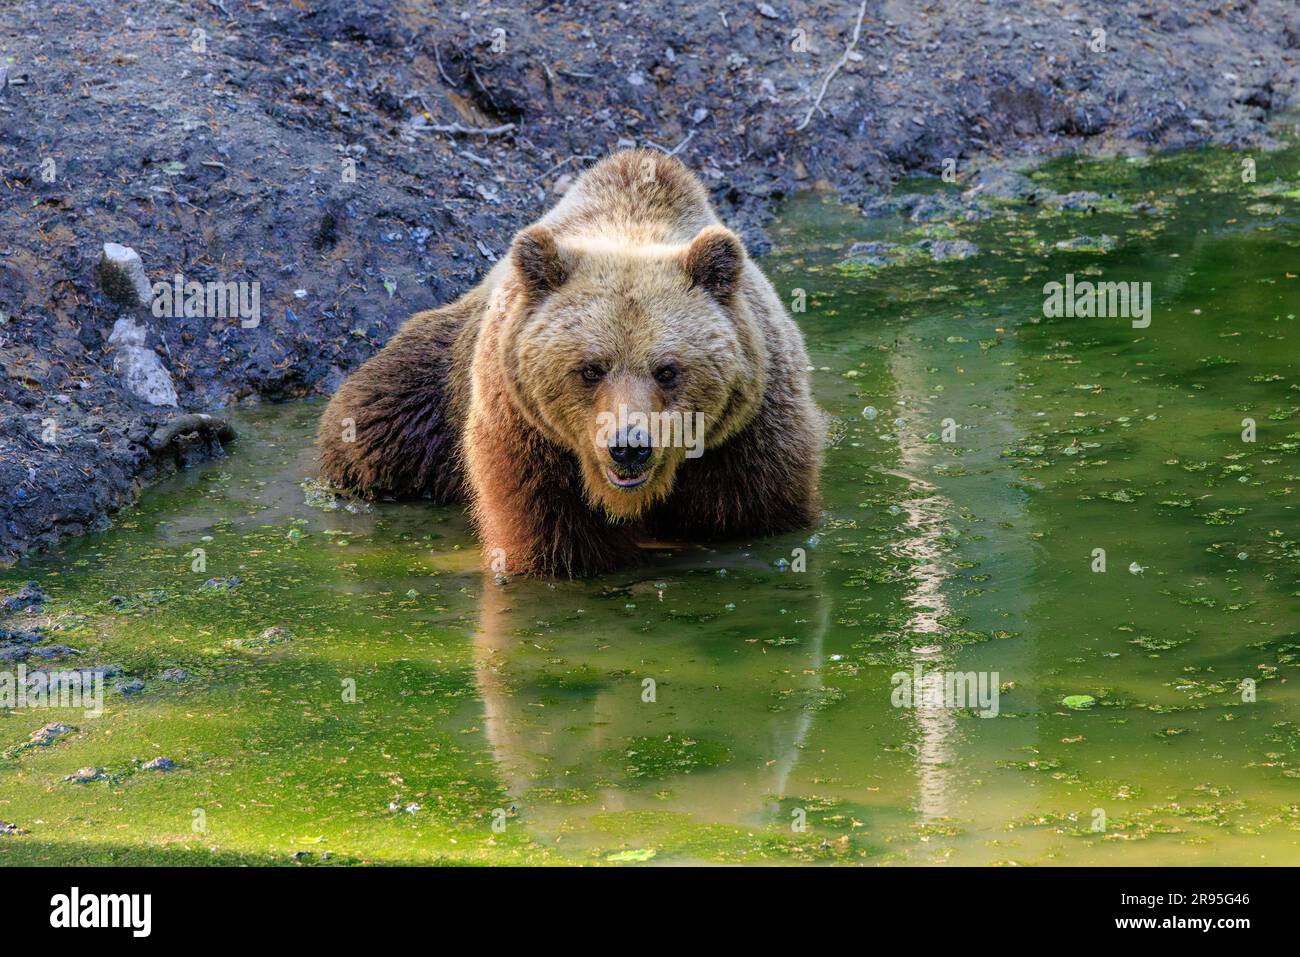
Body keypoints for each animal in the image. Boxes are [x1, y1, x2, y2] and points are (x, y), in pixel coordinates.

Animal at [317, 149, 822, 576]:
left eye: (667, 370)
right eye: (590, 368)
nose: (628, 446)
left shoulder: (745, 438)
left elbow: (752, 518)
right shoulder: (526, 431)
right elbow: (554, 540)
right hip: (431, 393)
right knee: (369, 423)